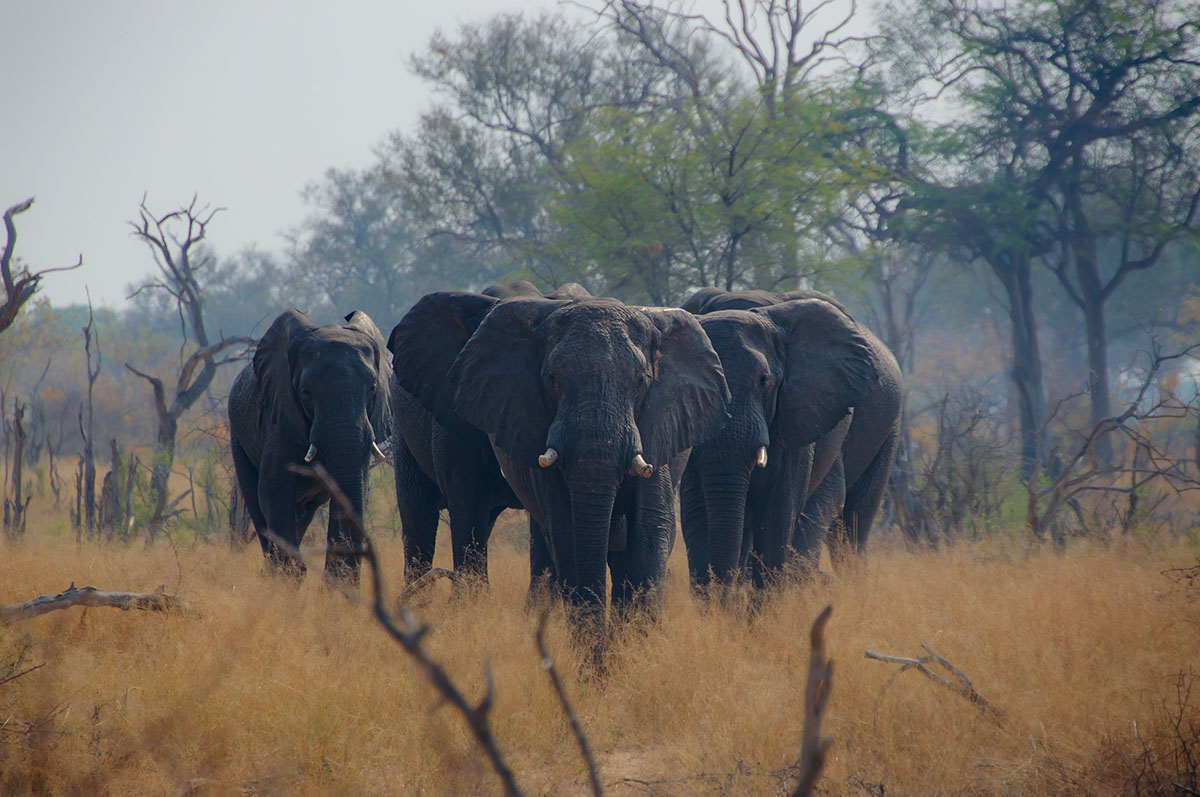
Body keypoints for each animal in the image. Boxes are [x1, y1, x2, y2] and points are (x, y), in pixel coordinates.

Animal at [228, 309, 392, 582]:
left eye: (372, 389)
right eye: (305, 392)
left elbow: (354, 490)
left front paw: (340, 583)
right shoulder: (279, 413)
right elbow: (274, 488)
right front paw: (288, 580)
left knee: (303, 512)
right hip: (237, 437)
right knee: (256, 501)